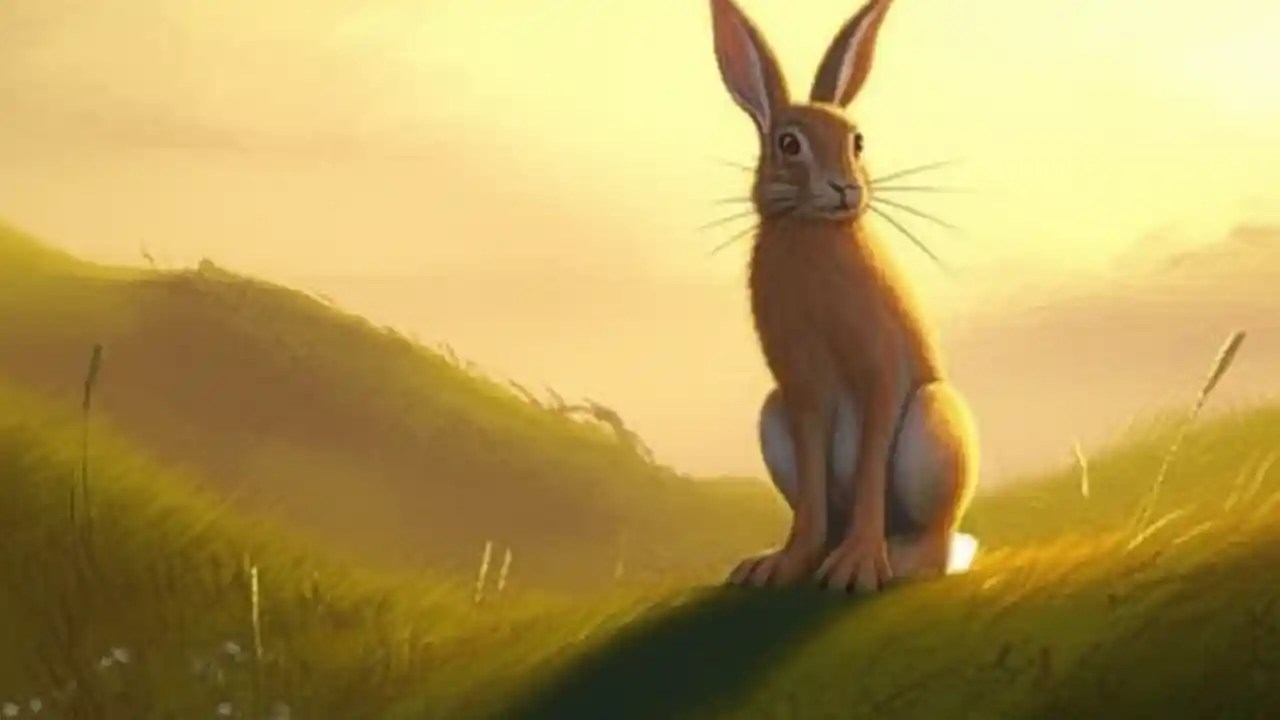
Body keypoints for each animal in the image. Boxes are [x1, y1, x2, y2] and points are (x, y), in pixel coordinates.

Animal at [709, 0, 979, 594]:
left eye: (858, 142)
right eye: (789, 144)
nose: (844, 189)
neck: (814, 234)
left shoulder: (880, 374)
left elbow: (872, 462)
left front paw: (858, 568)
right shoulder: (802, 390)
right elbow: (812, 482)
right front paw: (785, 565)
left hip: (932, 421)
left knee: (934, 540)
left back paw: (899, 560)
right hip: (772, 416)